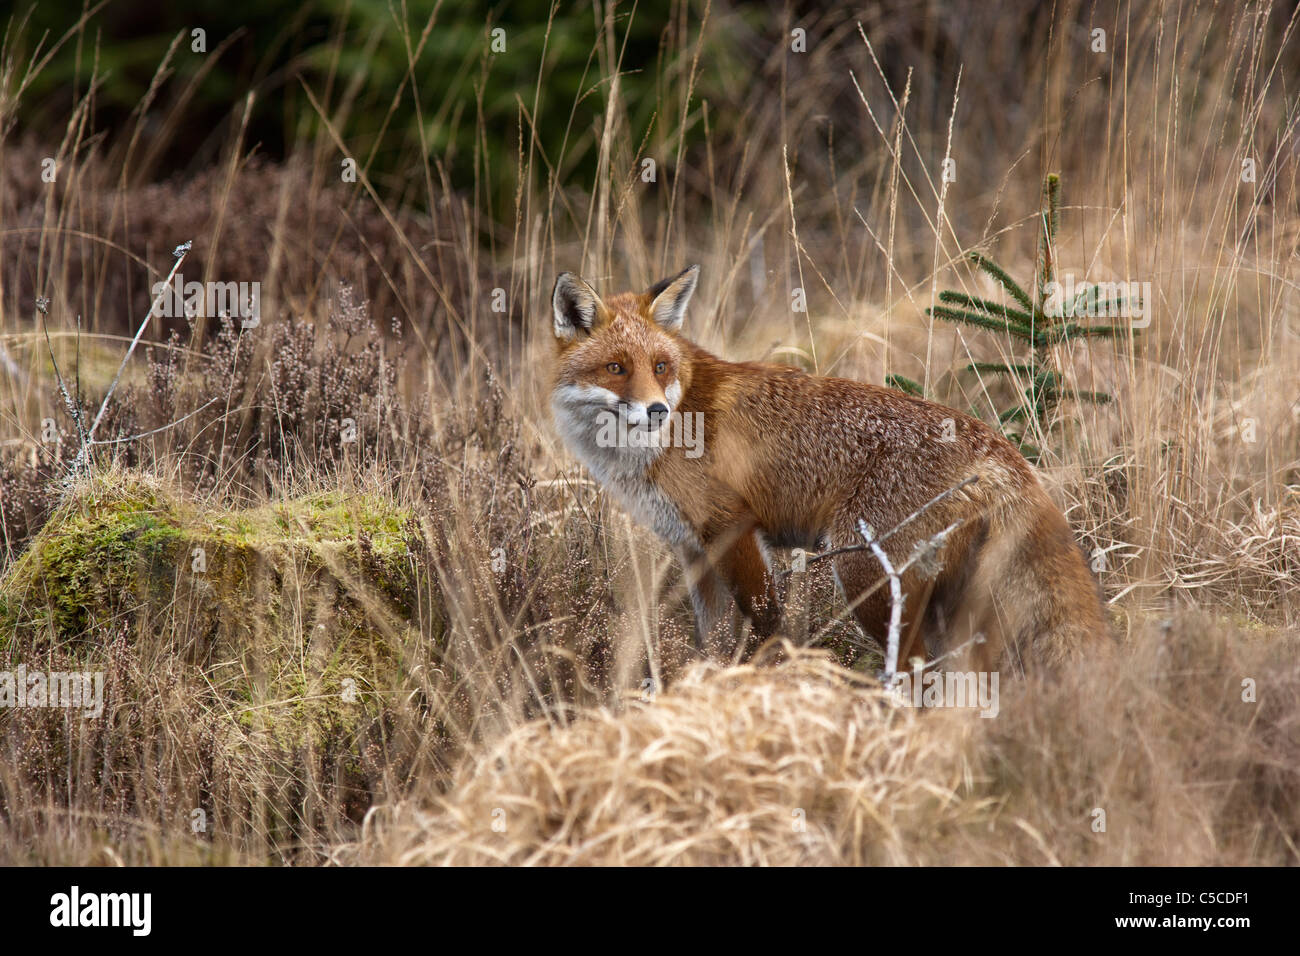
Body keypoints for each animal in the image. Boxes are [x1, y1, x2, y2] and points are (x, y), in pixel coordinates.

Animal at [549, 264, 1107, 672]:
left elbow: (765, 621)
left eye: (660, 367)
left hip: (866, 578)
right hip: (952, 603)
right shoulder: (693, 550)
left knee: (916, 667)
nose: (657, 411)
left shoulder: (733, 527)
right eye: (616, 368)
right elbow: (711, 639)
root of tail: (998, 447)